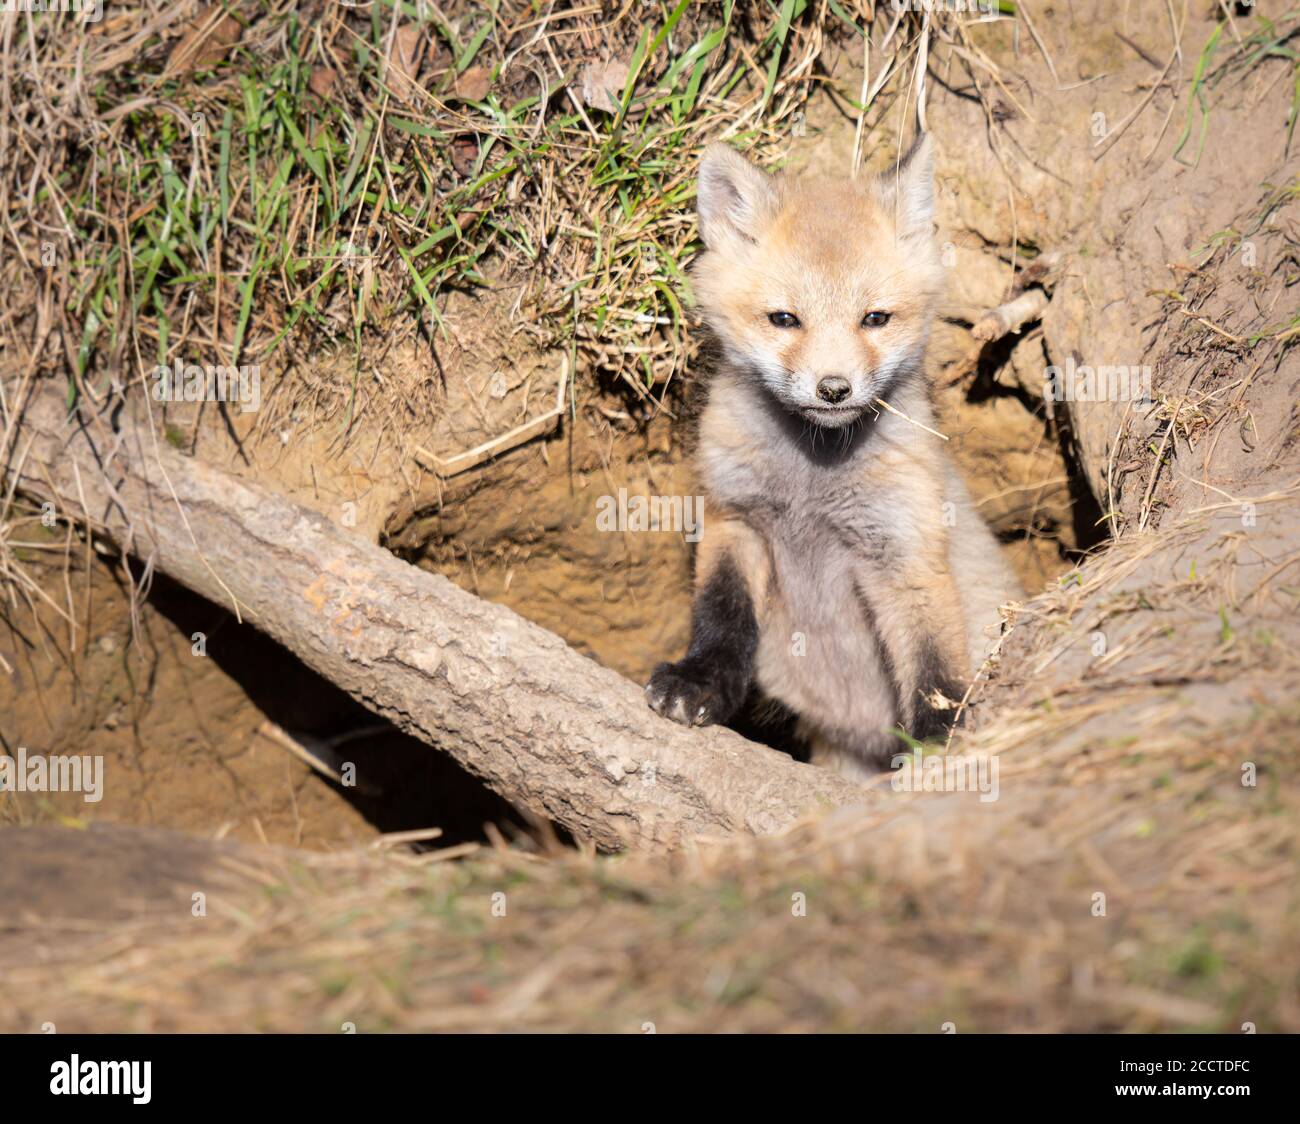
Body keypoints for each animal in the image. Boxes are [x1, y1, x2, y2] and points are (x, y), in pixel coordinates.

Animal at [644, 134, 1023, 782]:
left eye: (875, 318)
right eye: (784, 319)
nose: (833, 389)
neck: (811, 481)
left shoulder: (905, 551)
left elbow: (933, 665)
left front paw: (938, 743)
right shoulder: (734, 518)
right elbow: (722, 613)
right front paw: (699, 682)